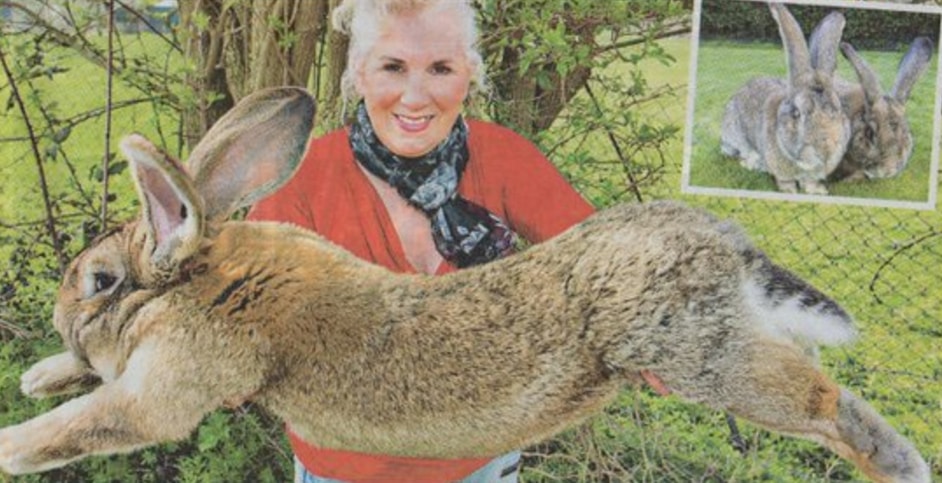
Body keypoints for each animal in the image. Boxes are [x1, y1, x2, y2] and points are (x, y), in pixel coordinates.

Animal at [0, 86, 931, 482]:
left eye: (99, 278)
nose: (58, 307)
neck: (198, 278)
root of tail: (722, 242)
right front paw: (41, 372)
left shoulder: (167, 387)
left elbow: (84, 424)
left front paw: (11, 443)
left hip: (698, 356)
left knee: (822, 401)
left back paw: (901, 464)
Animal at [721, 4, 851, 195]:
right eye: (796, 113)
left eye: (838, 109)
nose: (826, 152)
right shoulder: (780, 170)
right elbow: (785, 182)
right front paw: (790, 192)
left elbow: (809, 182)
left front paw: (817, 190)